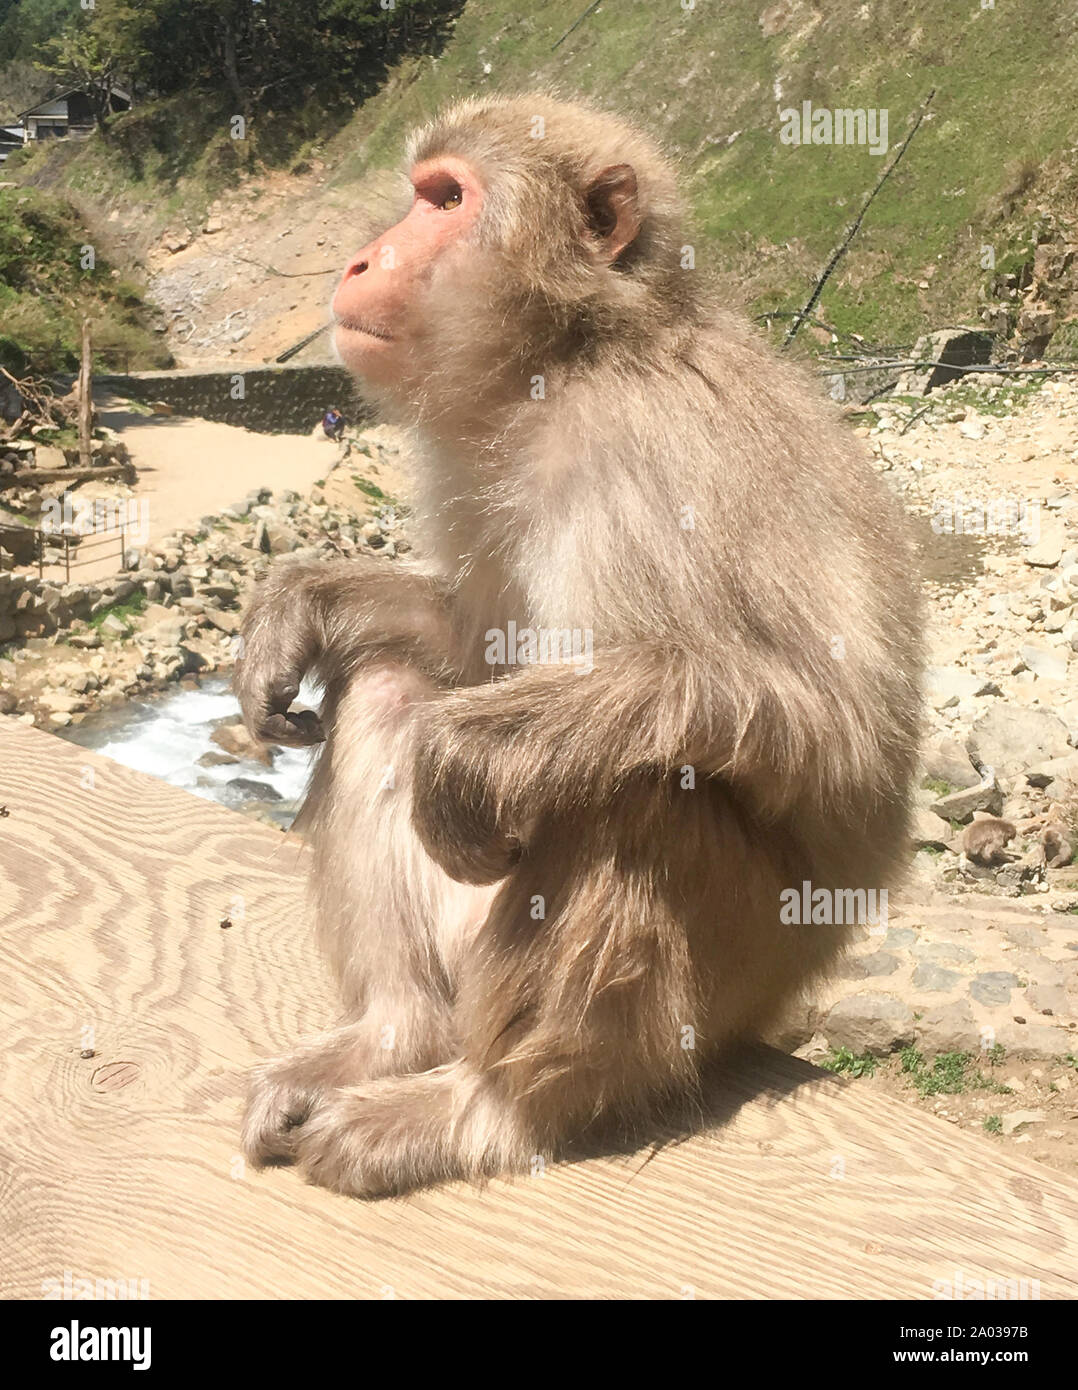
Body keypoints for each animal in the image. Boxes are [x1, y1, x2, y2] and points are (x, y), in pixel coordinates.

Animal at [235, 94, 924, 1198]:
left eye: (446, 201)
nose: (359, 258)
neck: (568, 364)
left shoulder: (661, 449)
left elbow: (829, 722)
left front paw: (464, 757)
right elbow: (474, 644)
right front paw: (298, 603)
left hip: (740, 978)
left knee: (640, 788)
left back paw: (489, 1109)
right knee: (388, 687)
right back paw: (394, 1036)